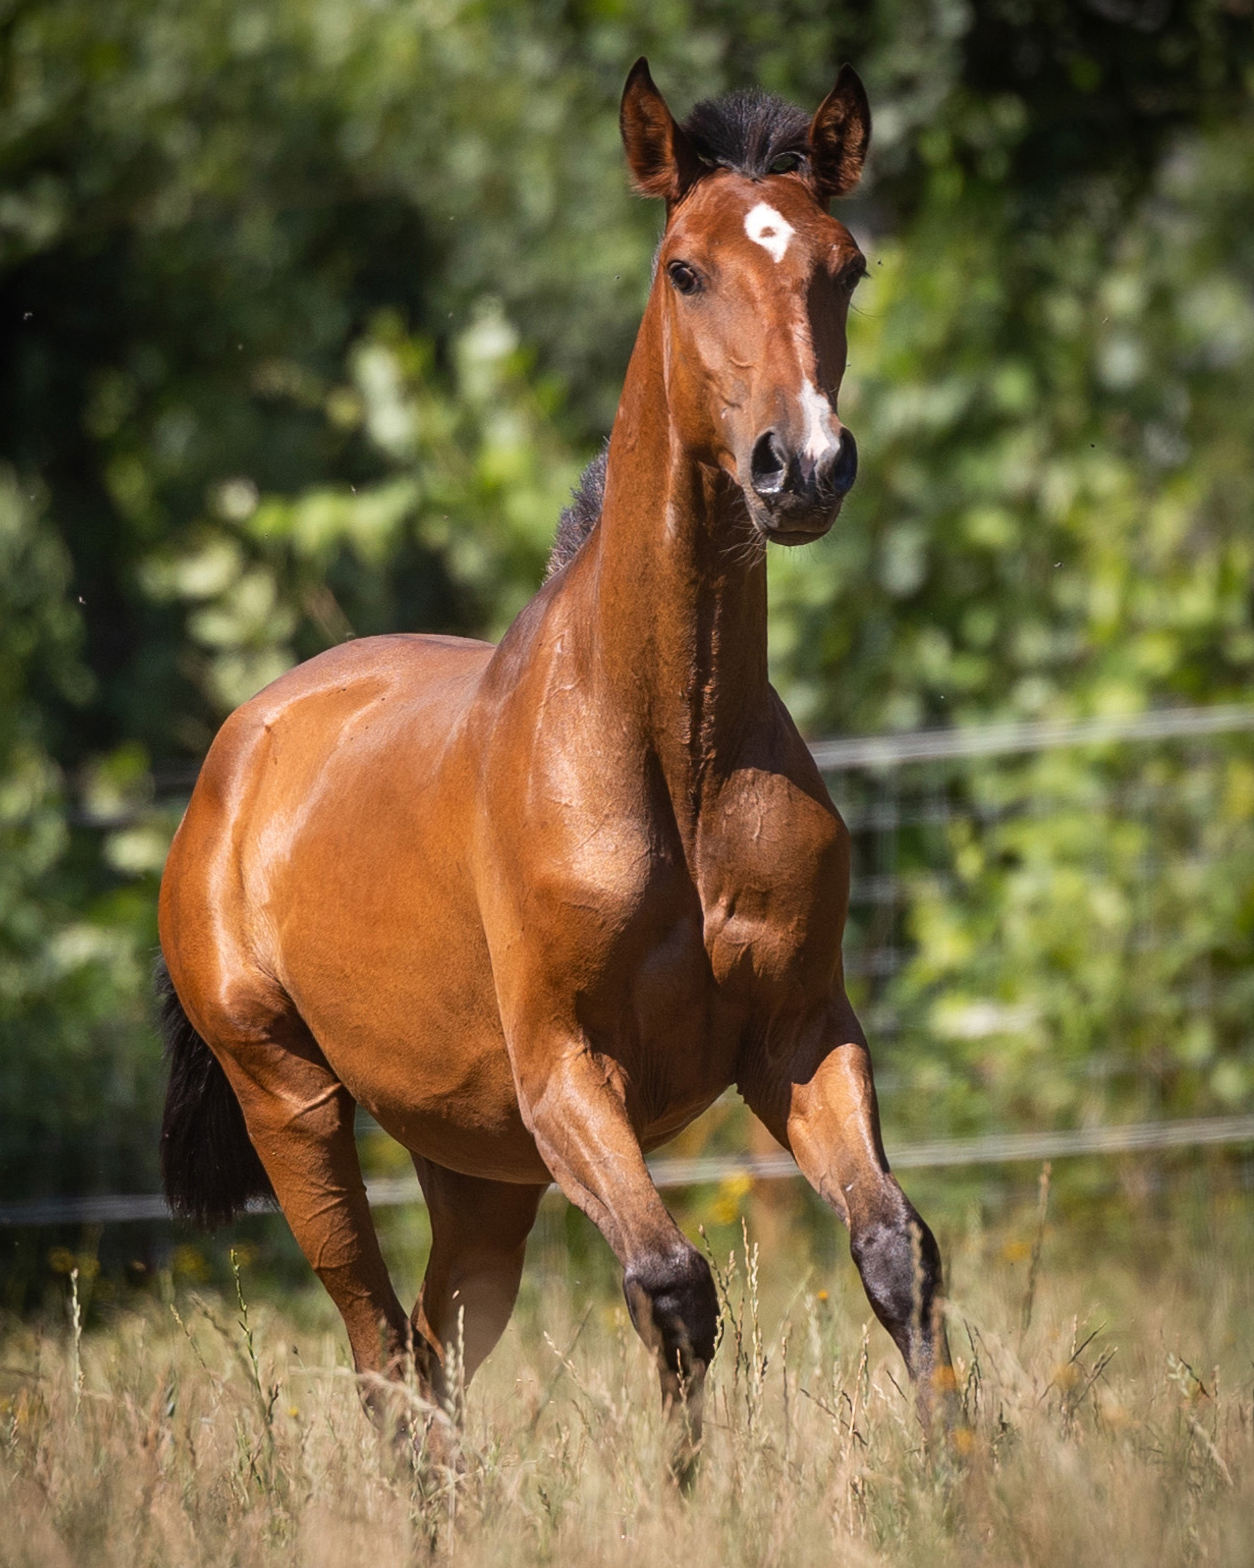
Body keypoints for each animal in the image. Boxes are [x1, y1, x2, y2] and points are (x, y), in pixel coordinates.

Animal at [157, 57, 953, 1477]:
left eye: (846, 267)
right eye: (686, 270)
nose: (801, 466)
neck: (668, 754)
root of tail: (234, 760)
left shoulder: (800, 1035)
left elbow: (892, 1248)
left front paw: (961, 1480)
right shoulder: (570, 1073)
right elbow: (673, 1284)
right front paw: (692, 1498)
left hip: (479, 1170)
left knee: (432, 1354)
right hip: (294, 1107)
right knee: (383, 1356)